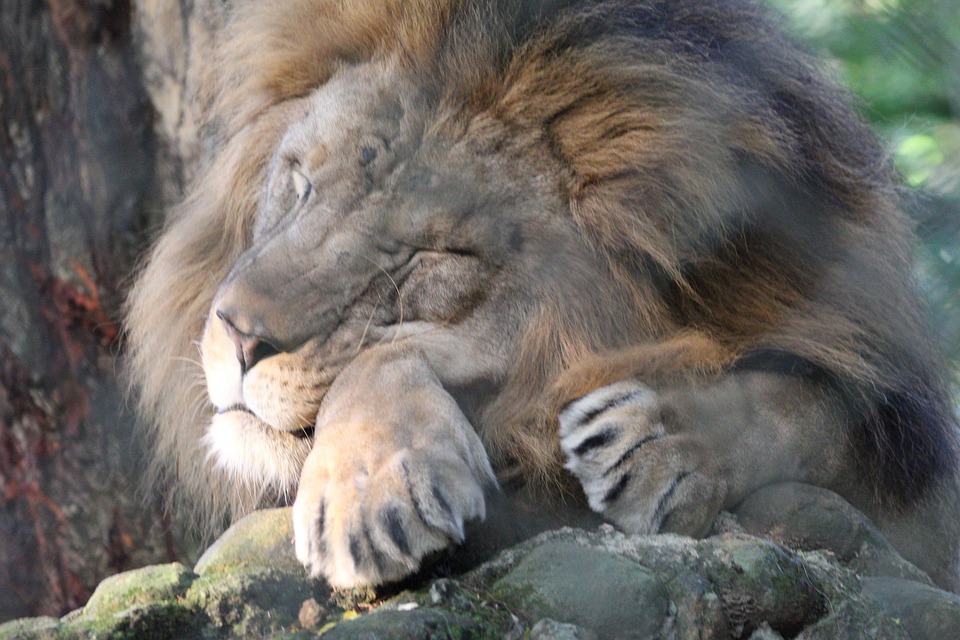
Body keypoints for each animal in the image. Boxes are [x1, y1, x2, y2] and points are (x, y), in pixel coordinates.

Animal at [127, 0, 960, 592]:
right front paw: (371, 486)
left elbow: (809, 406)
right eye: (300, 184)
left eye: (433, 254)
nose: (237, 335)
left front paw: (660, 441)